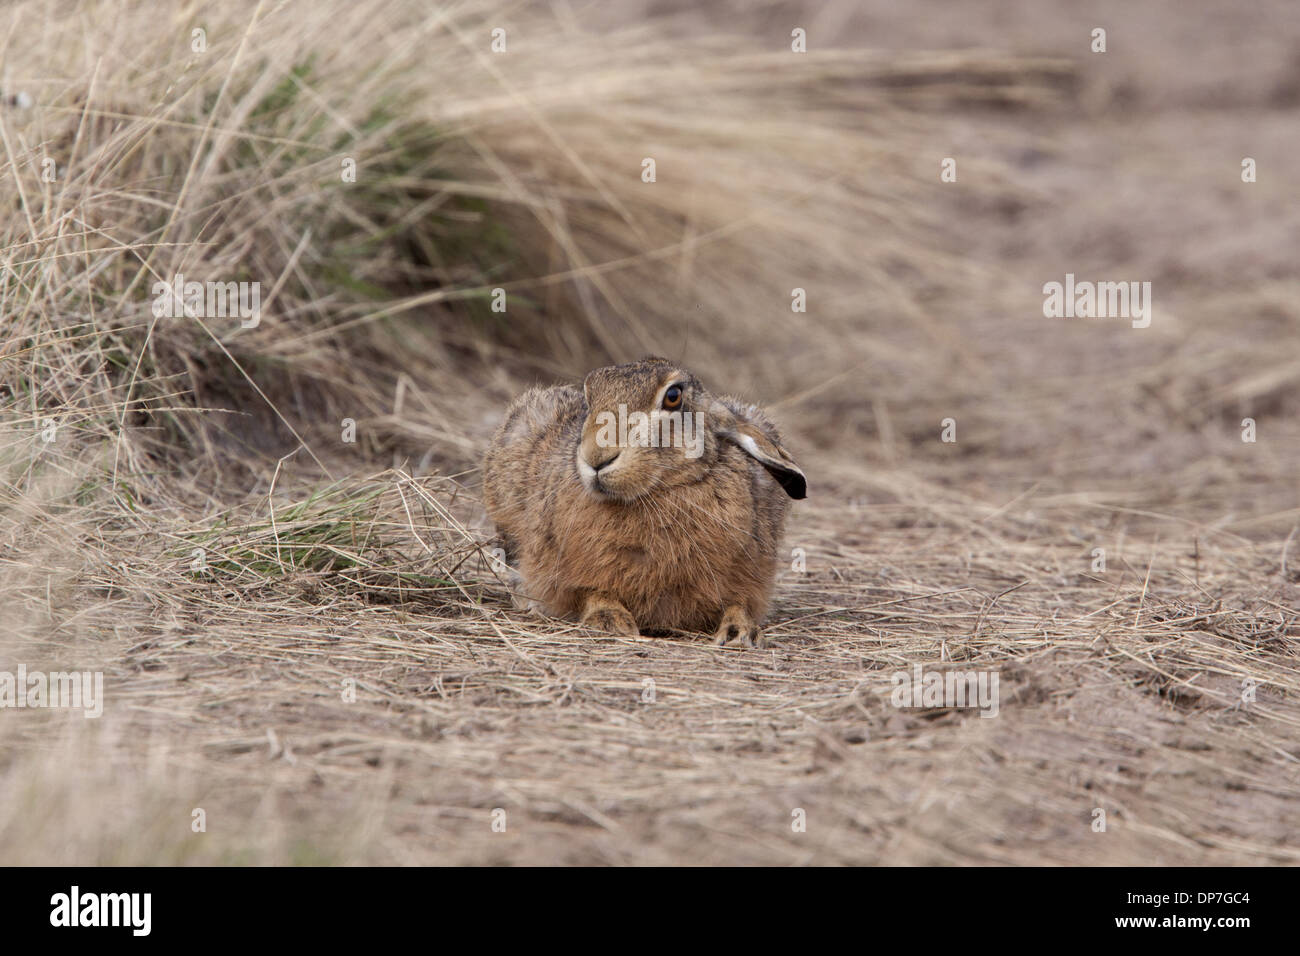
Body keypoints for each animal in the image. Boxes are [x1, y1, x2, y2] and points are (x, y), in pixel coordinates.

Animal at [482, 357, 806, 647]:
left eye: (673, 397)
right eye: (590, 399)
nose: (596, 456)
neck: (655, 494)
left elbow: (739, 603)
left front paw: (741, 632)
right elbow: (591, 593)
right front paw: (610, 621)